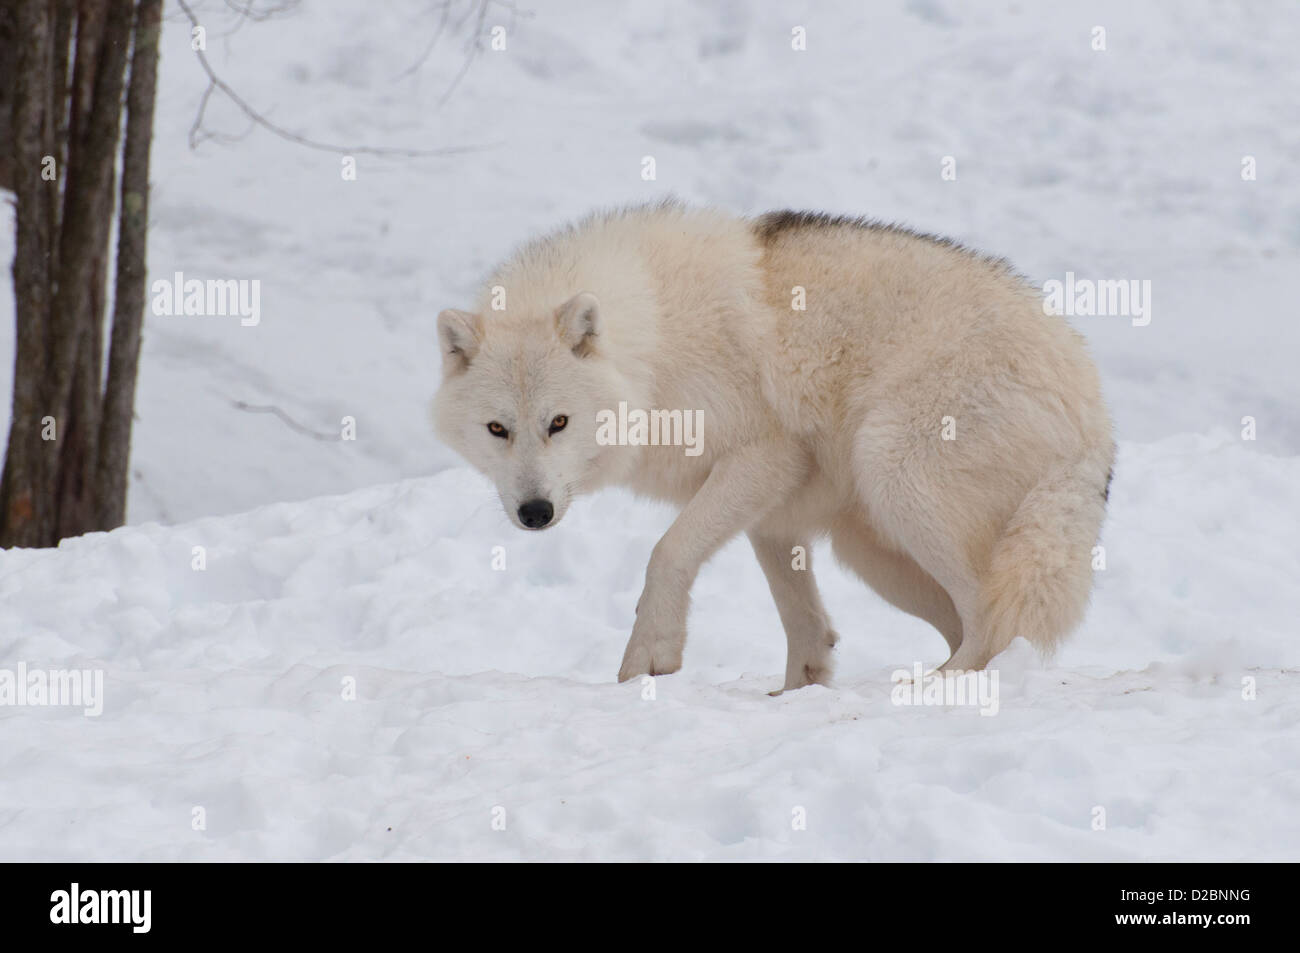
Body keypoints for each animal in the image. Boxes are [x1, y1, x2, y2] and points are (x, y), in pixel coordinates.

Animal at [433, 202, 1115, 691]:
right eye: (498, 430)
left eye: (559, 423)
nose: (534, 513)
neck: (656, 345)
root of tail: (1094, 416)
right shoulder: (775, 511)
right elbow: (803, 619)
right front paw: (797, 690)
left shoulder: (763, 456)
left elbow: (667, 552)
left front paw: (649, 657)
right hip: (874, 554)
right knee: (973, 622)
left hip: (895, 475)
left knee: (988, 616)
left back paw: (936, 686)